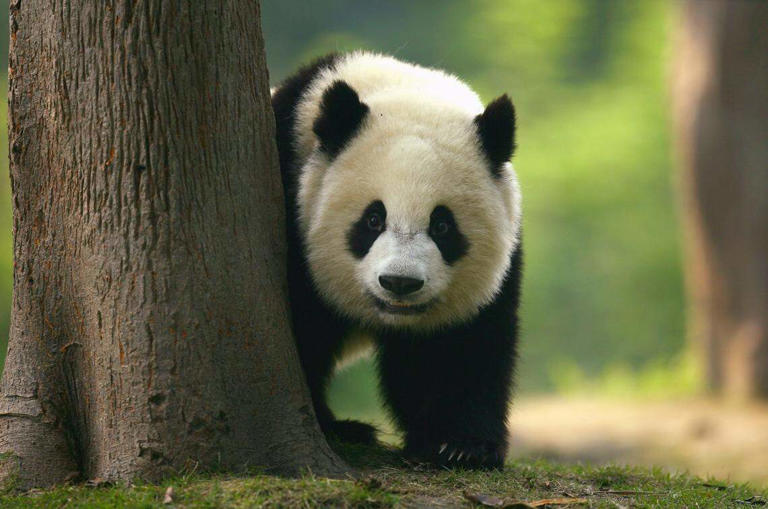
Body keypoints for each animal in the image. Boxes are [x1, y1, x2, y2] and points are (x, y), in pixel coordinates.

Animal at [271, 52, 522, 469]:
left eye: (442, 226)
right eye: (374, 219)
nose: (400, 283)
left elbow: (460, 347)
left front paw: (460, 445)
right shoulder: (289, 196)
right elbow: (304, 331)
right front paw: (329, 426)